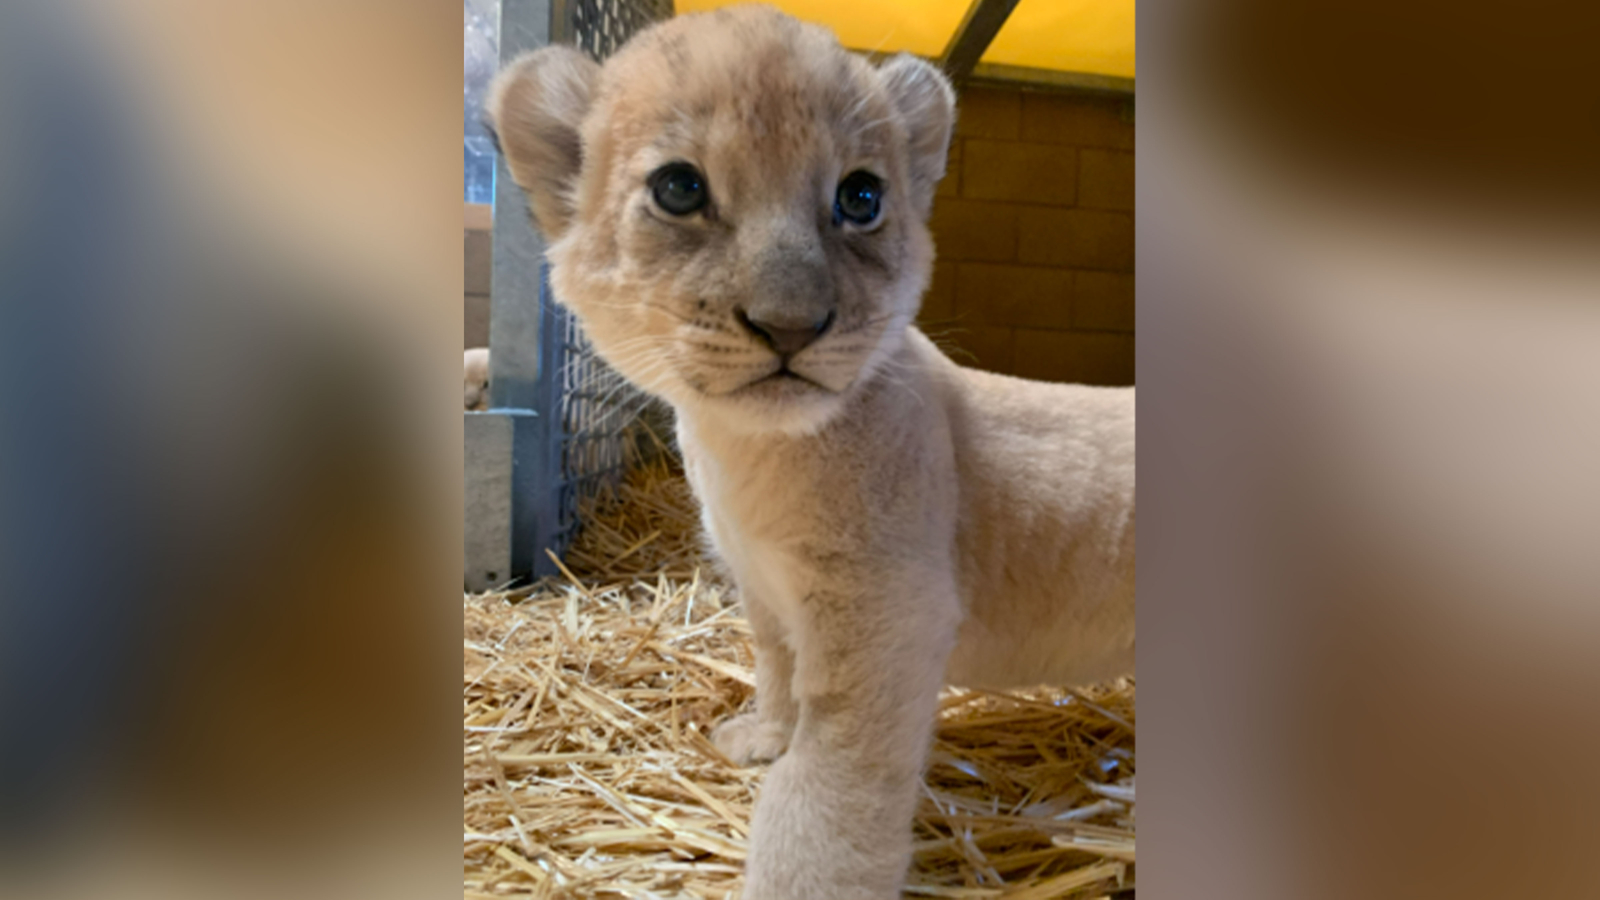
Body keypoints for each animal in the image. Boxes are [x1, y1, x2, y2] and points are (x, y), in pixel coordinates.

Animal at [487, 6, 1134, 897]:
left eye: (860, 197)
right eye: (680, 189)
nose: (790, 327)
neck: (745, 454)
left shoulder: (888, 614)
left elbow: (827, 789)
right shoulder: (766, 591)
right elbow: (778, 670)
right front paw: (761, 739)